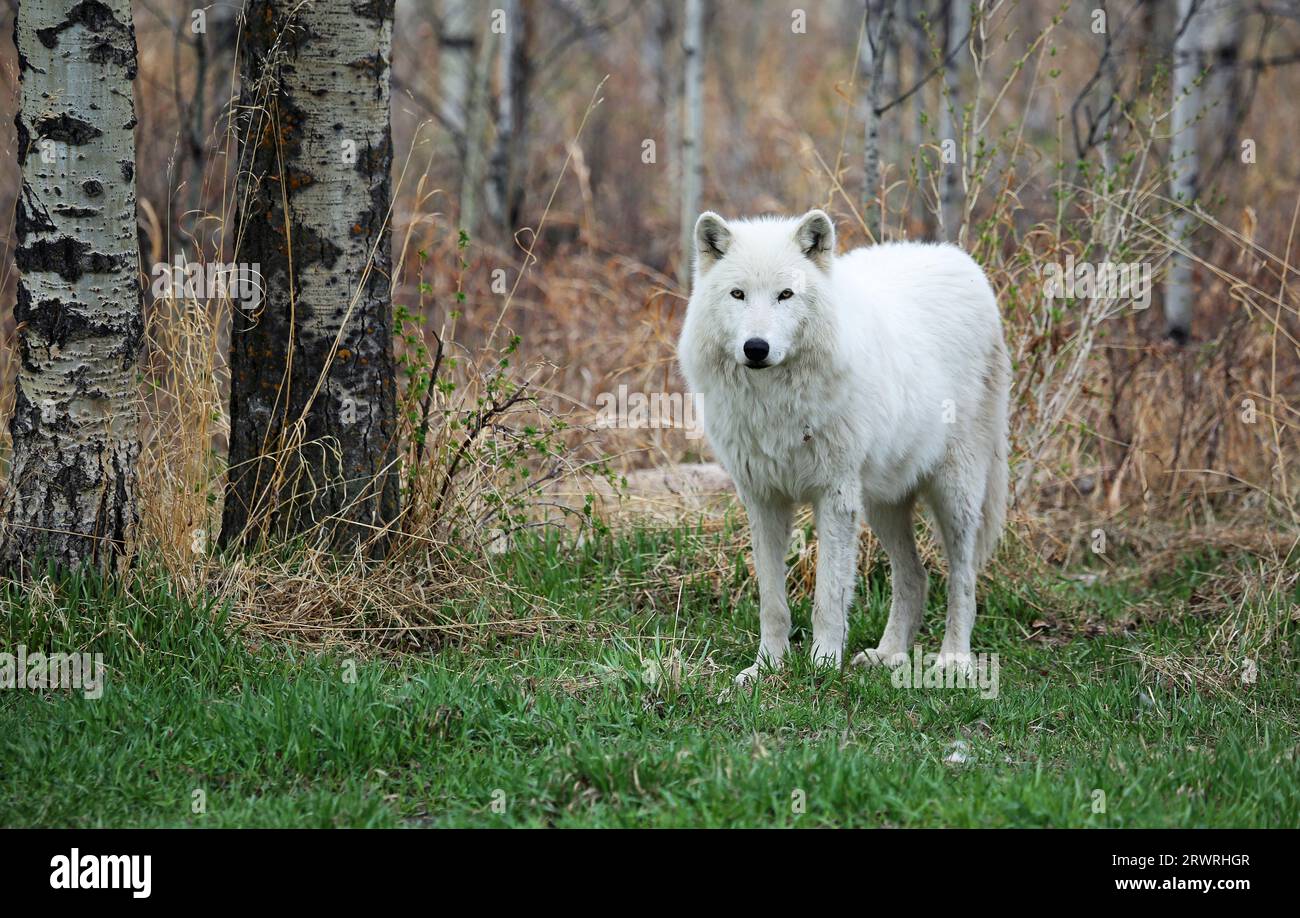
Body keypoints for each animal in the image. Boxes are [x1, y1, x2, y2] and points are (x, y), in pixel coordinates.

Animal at [677, 209, 1010, 685]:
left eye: (785, 295)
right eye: (738, 294)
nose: (756, 348)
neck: (775, 401)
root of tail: (962, 261)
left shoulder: (834, 496)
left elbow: (829, 597)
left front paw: (821, 664)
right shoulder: (763, 499)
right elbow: (772, 603)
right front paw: (766, 667)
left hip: (954, 491)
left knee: (963, 577)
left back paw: (953, 660)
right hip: (882, 503)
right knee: (916, 576)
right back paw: (888, 654)